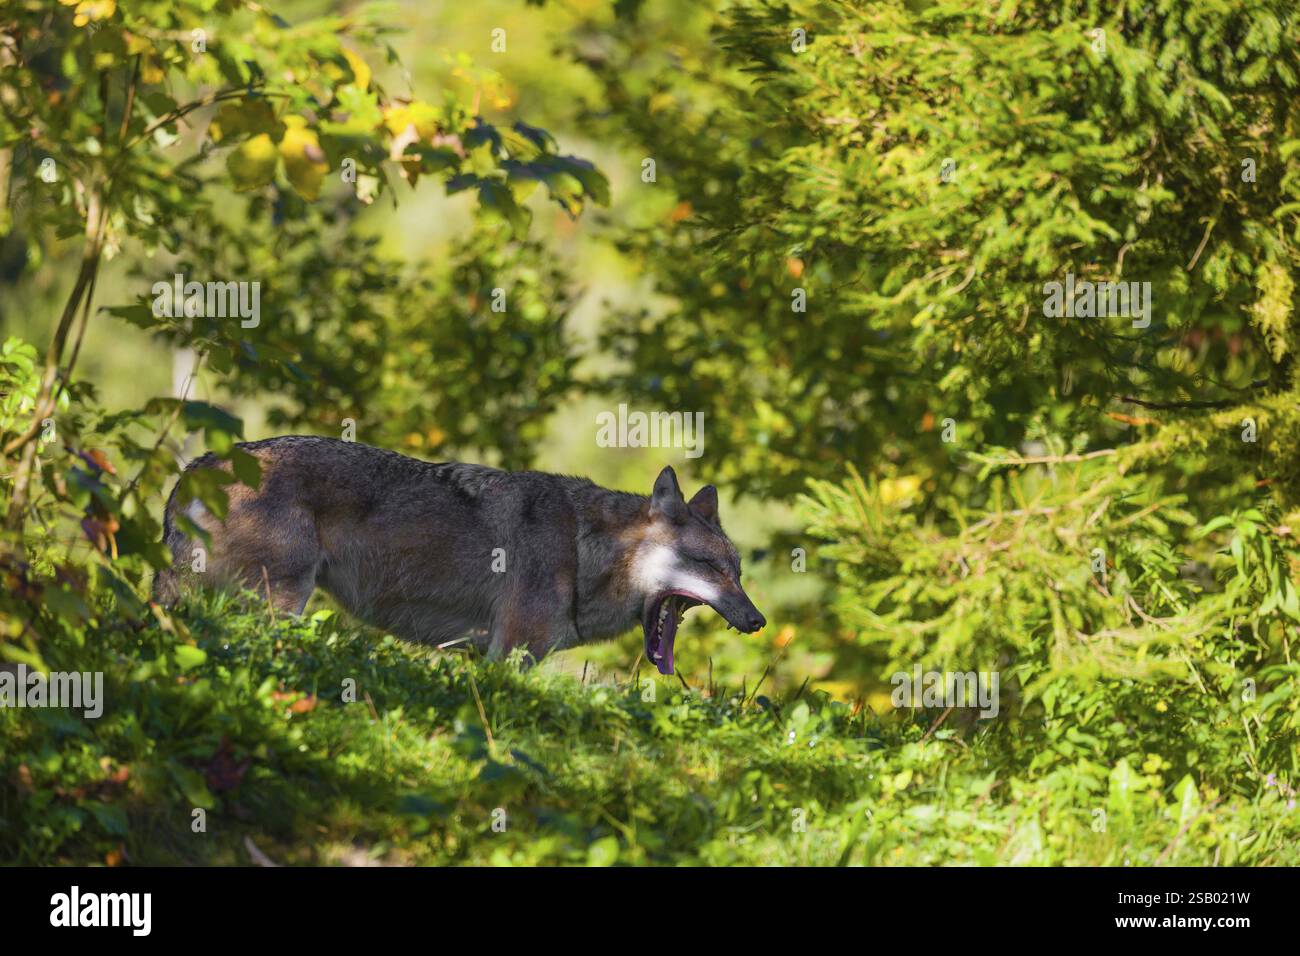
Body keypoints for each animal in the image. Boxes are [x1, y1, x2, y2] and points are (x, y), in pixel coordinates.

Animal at [154, 437, 765, 673]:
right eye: (711, 568)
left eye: (737, 573)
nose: (758, 620)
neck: (582, 547)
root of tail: (198, 465)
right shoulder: (512, 654)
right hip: (280, 602)